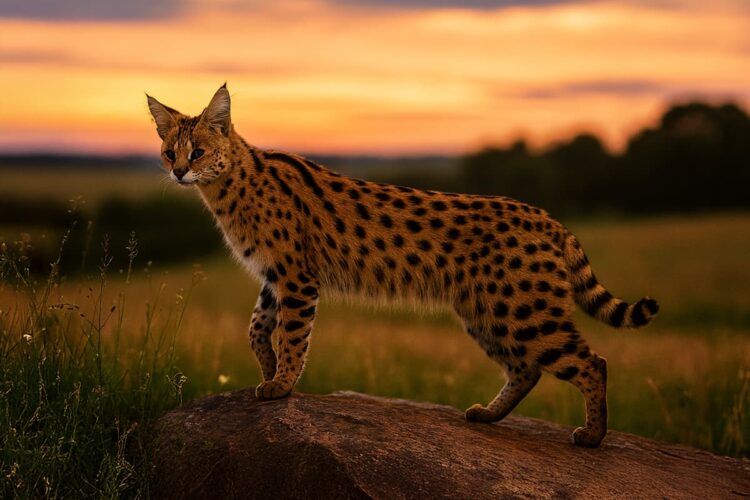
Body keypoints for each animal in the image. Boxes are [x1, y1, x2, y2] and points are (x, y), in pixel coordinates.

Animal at [146, 84, 658, 447]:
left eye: (197, 152)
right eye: (169, 151)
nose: (178, 172)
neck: (227, 187)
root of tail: (549, 218)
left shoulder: (295, 274)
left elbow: (293, 335)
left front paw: (283, 384)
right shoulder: (275, 276)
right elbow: (256, 327)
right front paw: (269, 371)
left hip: (521, 310)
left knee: (592, 361)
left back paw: (593, 437)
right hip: (488, 312)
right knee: (526, 368)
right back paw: (489, 415)